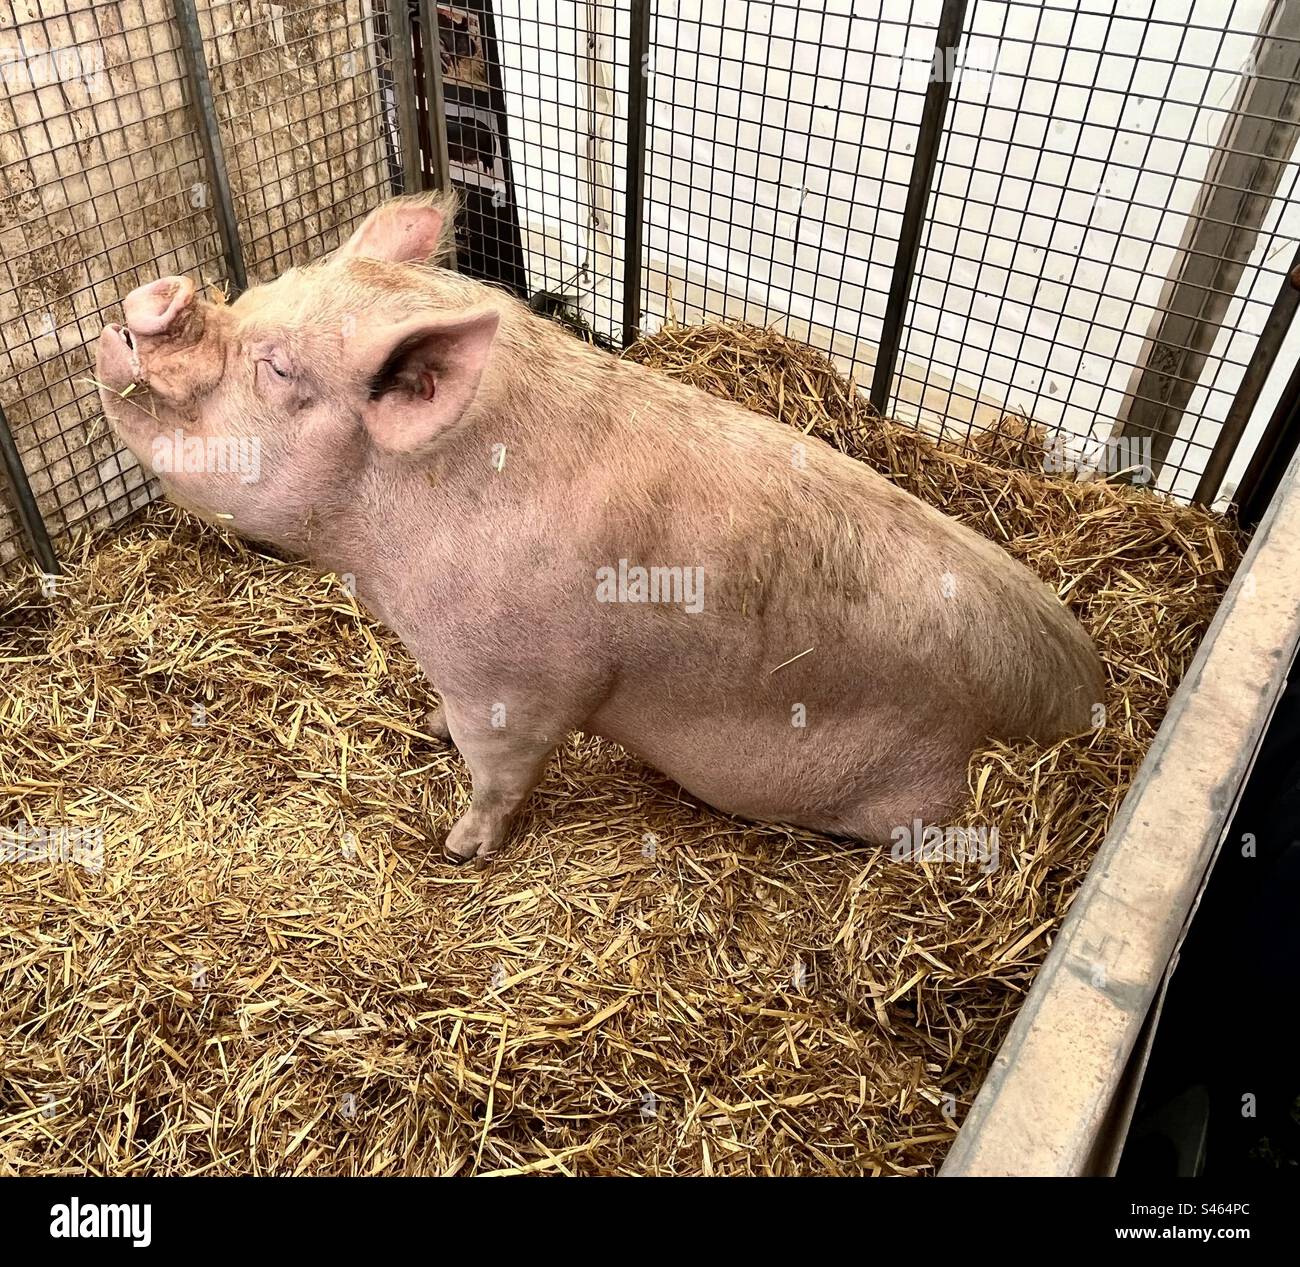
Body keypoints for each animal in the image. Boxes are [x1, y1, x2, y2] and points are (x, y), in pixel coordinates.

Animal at [95, 191, 1104, 863]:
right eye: (256, 292)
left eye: (275, 368)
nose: (147, 300)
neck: (383, 560)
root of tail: (1085, 691)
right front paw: (424, 726)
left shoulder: (517, 684)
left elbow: (500, 773)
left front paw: (460, 847)